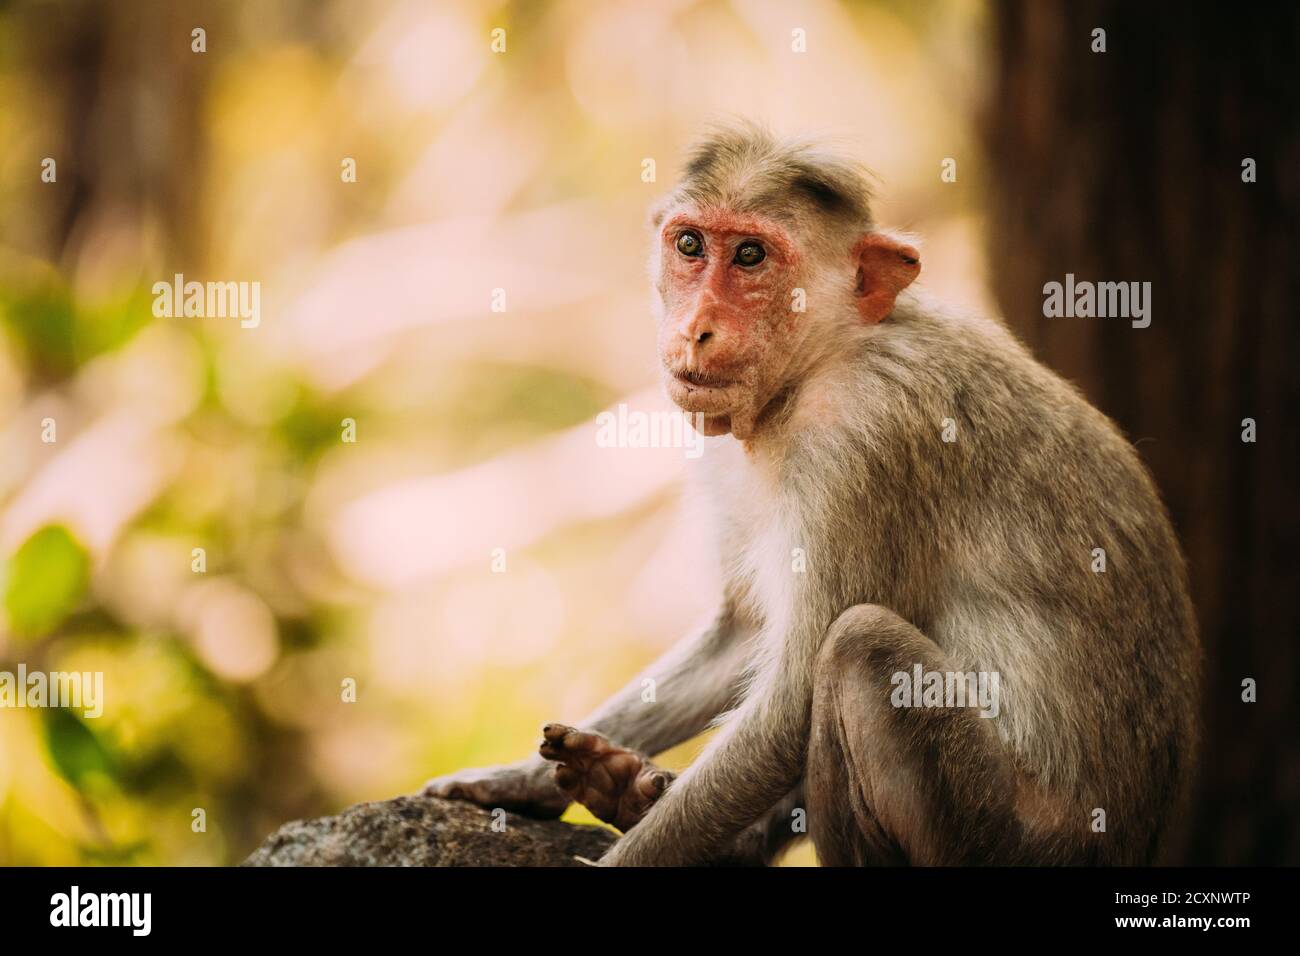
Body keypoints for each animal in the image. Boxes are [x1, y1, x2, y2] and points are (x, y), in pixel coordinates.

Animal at [425, 123, 1201, 866]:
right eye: (690, 244)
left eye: (750, 258)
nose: (695, 328)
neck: (819, 360)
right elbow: (744, 634)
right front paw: (516, 781)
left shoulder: (863, 440)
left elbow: (791, 702)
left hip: (1008, 835)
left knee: (859, 648)